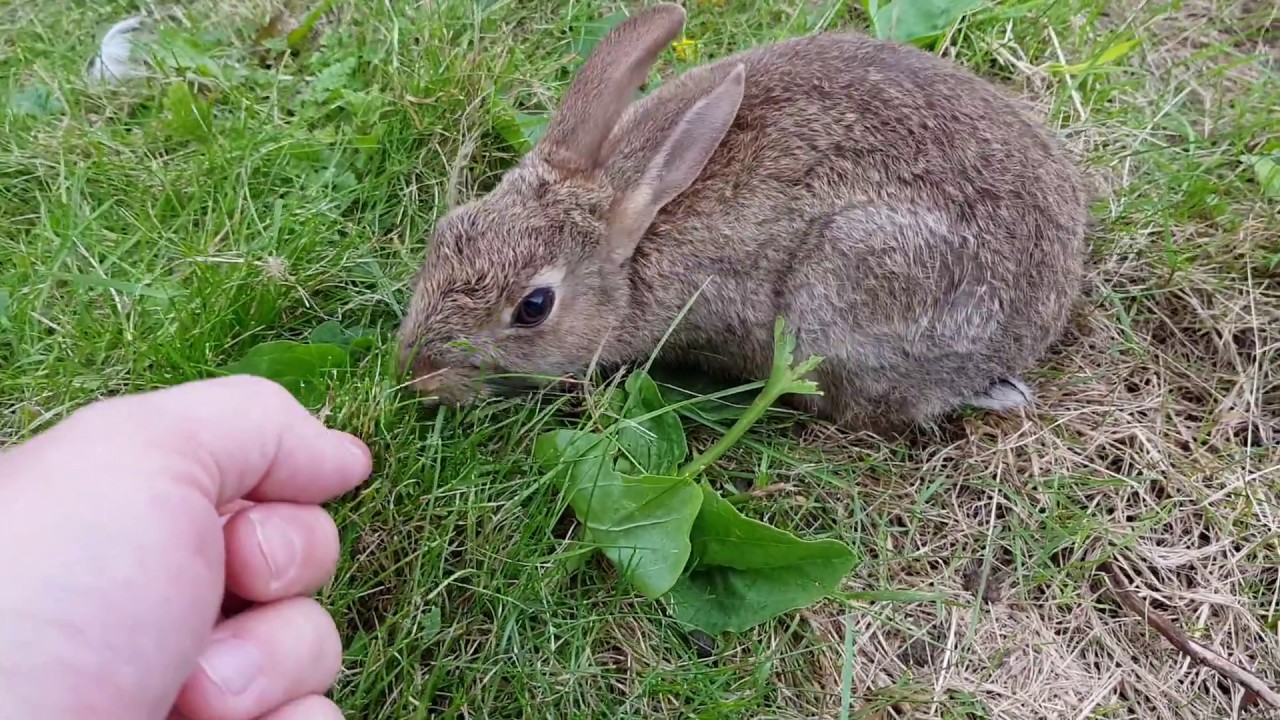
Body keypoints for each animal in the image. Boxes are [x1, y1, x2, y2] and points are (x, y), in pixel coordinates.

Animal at [394, 3, 1090, 434]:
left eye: (533, 308)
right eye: (446, 233)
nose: (416, 376)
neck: (637, 246)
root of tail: (1038, 323)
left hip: (855, 277)